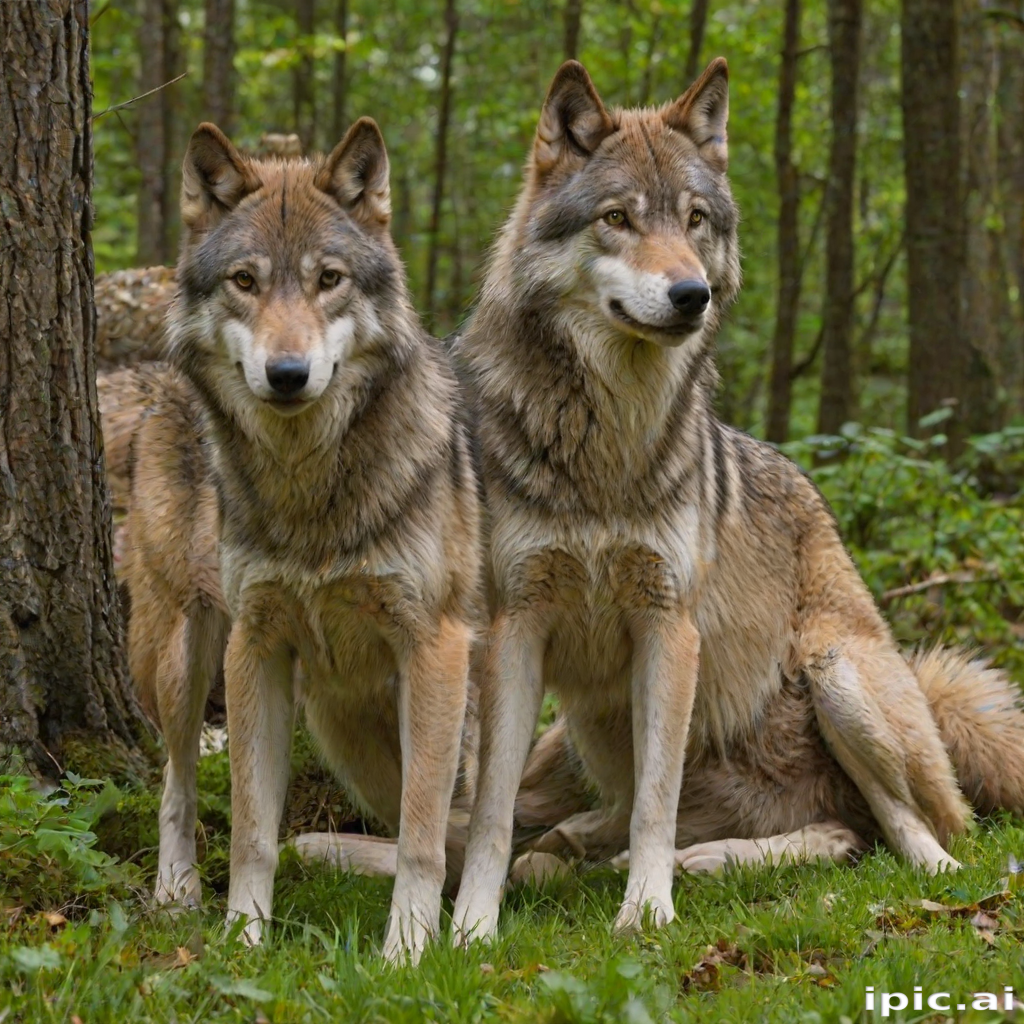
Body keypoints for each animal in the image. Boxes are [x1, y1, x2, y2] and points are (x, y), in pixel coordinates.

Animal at [121, 118, 484, 963]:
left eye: (329, 280)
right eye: (245, 282)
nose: (286, 373)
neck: (310, 486)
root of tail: (155, 378)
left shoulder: (437, 648)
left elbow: (423, 834)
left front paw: (407, 952)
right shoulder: (254, 646)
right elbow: (254, 830)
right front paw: (242, 942)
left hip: (355, 720)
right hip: (184, 650)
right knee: (174, 780)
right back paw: (176, 894)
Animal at [451, 58, 1024, 942]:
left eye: (694, 220)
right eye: (617, 218)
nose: (692, 294)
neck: (610, 438)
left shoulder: (670, 627)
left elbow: (655, 802)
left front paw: (647, 910)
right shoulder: (515, 627)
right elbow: (492, 808)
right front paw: (469, 928)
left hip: (836, 676)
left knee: (894, 830)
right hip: (588, 726)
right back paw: (598, 852)